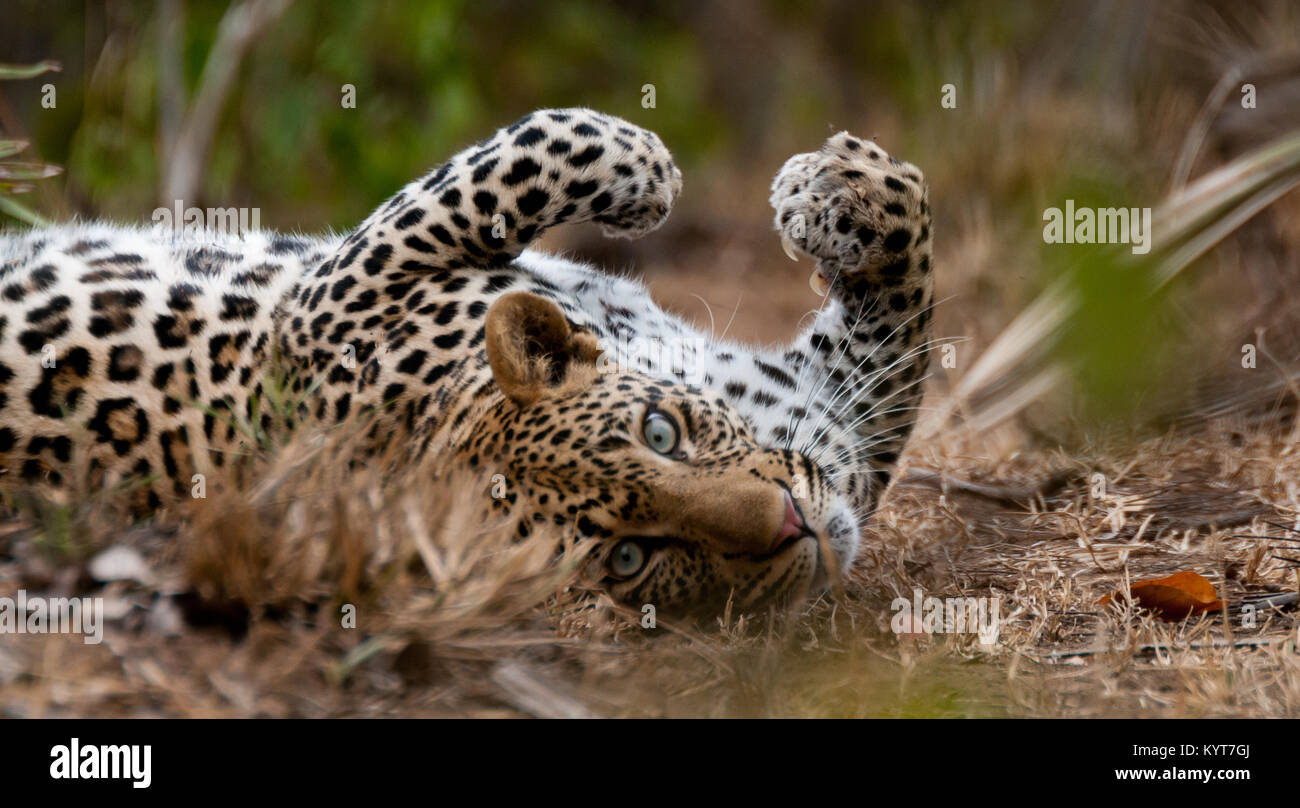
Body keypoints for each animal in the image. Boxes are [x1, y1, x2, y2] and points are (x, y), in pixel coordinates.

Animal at [0, 108, 934, 617]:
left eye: (661, 431)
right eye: (632, 559)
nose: (794, 527)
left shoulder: (837, 416)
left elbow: (908, 291)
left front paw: (843, 187)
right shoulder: (336, 294)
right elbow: (526, 151)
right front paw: (648, 176)